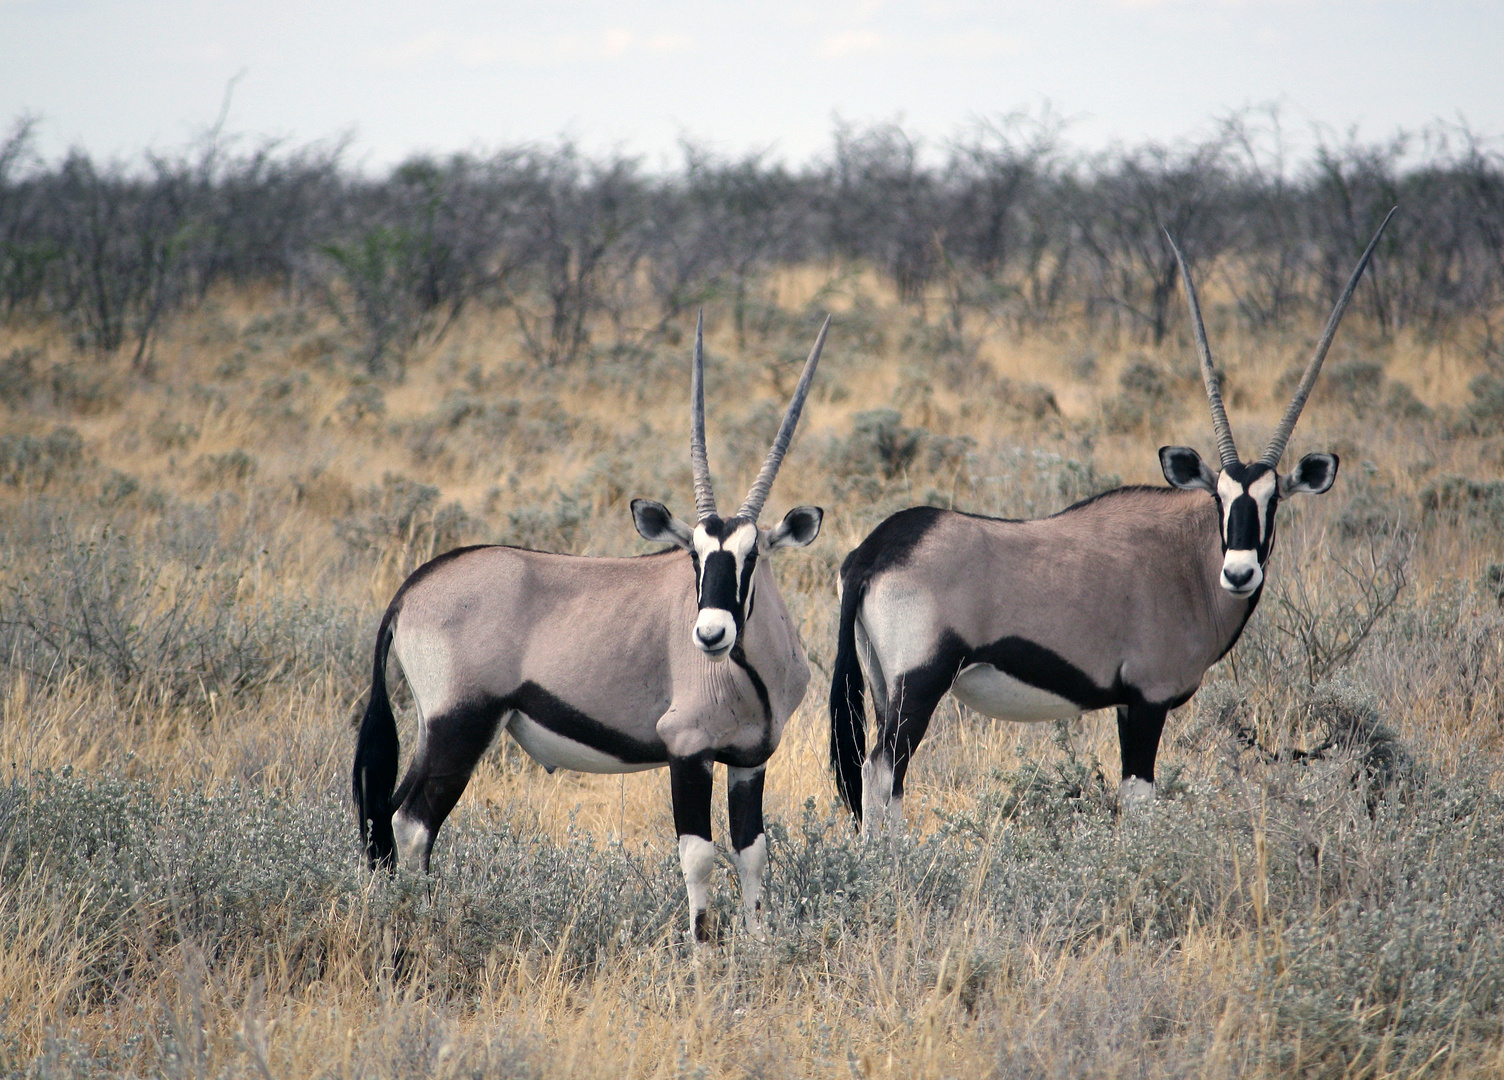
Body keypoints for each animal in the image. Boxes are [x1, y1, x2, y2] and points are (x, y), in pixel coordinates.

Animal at [351, 312, 830, 938]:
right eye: (694, 556)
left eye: (751, 556)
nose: (710, 635)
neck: (752, 673)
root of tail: (411, 590)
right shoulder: (688, 749)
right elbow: (699, 855)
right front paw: (702, 948)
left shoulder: (750, 761)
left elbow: (752, 854)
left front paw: (757, 943)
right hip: (462, 724)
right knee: (413, 822)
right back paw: (423, 924)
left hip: (442, 732)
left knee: (388, 817)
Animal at [830, 213, 1389, 836]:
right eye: (1220, 498)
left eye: (1272, 502)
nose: (1240, 574)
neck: (1186, 561)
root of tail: (874, 552)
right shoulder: (1146, 701)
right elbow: (1140, 801)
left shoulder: (1125, 705)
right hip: (918, 686)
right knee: (882, 772)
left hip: (882, 685)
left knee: (876, 776)